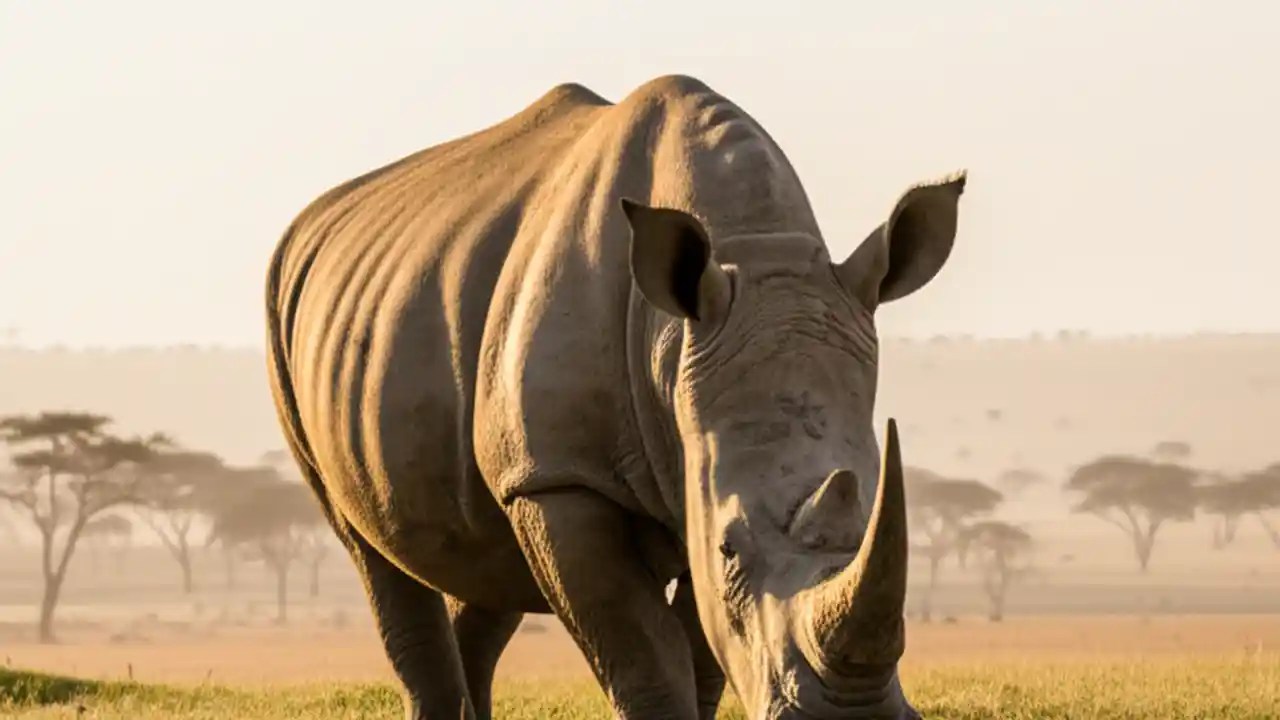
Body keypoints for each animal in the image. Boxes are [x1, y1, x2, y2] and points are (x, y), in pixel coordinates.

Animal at [264, 75, 966, 720]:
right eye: (729, 548)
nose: (852, 717)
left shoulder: (683, 471)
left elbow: (700, 656)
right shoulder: (558, 475)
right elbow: (644, 657)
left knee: (482, 561)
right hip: (282, 313)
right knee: (374, 555)